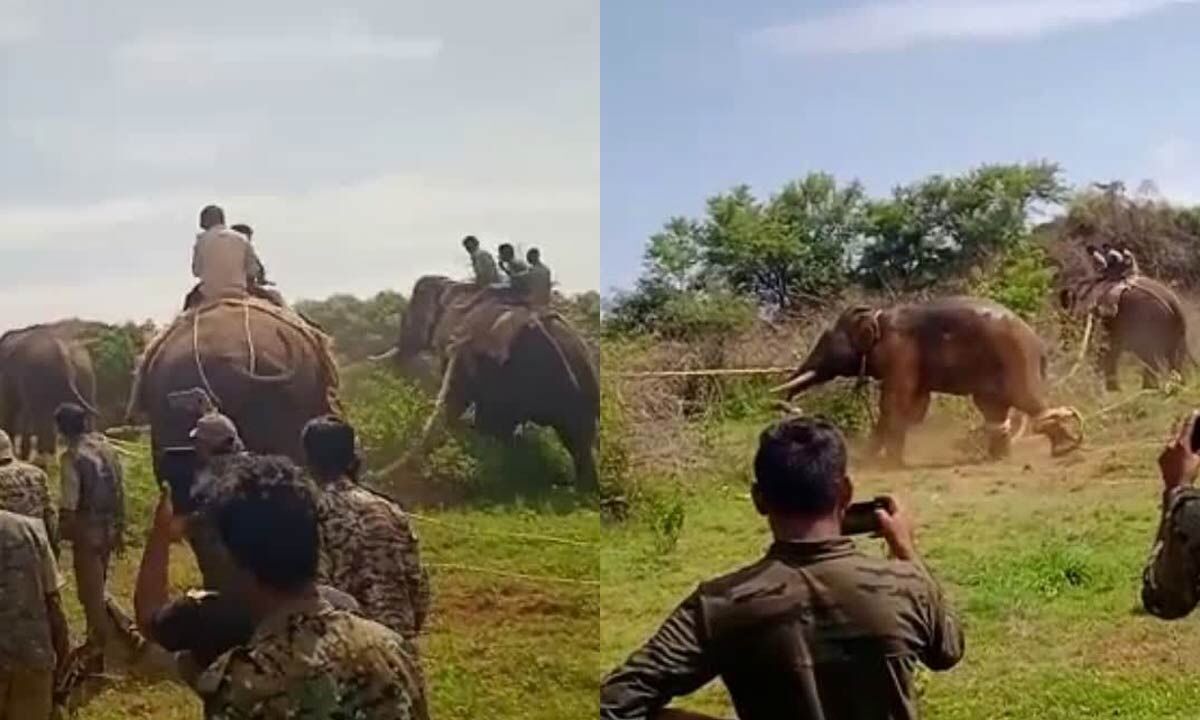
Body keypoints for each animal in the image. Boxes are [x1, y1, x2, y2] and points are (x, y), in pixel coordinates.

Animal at [376, 275, 600, 491]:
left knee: (498, 425)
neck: (450, 283)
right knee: (577, 436)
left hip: (509, 376)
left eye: (410, 315)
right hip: (582, 380)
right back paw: (580, 489)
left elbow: (456, 395)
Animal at [772, 297, 1083, 466]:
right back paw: (999, 457)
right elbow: (914, 407)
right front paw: (880, 461)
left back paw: (1064, 448)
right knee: (993, 407)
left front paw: (881, 464)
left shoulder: (900, 353)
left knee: (1026, 400)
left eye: (826, 343)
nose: (791, 408)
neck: (877, 315)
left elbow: (894, 403)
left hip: (1015, 359)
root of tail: (1039, 346)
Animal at [1058, 276, 1190, 391]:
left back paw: (1150, 389)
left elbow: (1105, 350)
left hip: (1147, 319)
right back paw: (1174, 388)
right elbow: (1112, 351)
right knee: (1174, 357)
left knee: (1150, 357)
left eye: (1065, 320)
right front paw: (1113, 389)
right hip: (1176, 329)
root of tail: (1173, 306)